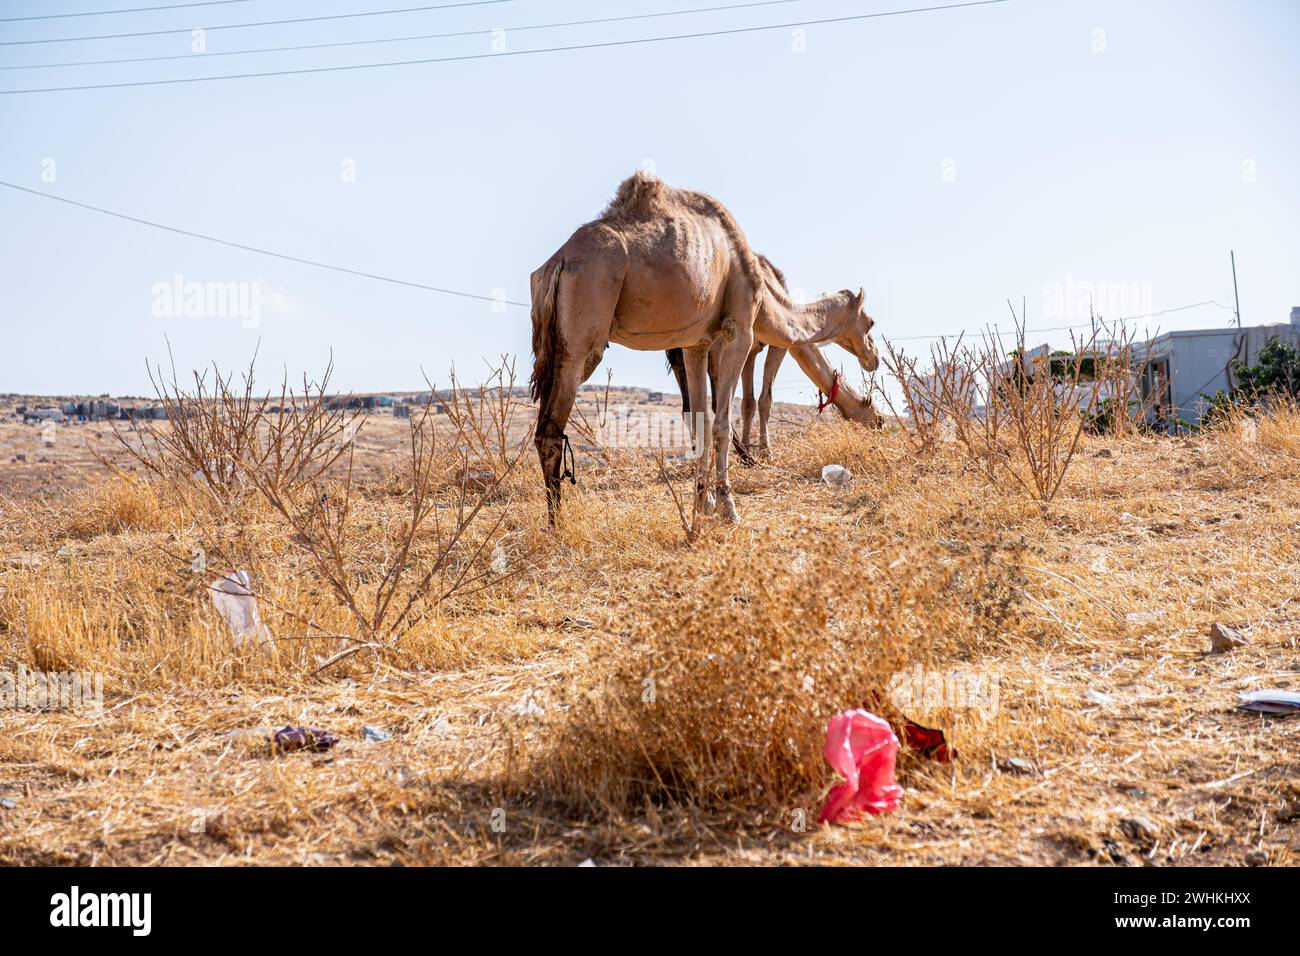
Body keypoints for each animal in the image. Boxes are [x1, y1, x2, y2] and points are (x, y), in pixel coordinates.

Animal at [529, 172, 878, 524]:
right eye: (871, 323)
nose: (873, 357)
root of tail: (557, 263)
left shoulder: (695, 344)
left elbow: (701, 419)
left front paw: (703, 501)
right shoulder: (741, 331)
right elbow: (723, 419)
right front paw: (727, 505)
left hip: (552, 345)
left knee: (544, 427)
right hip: (583, 334)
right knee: (552, 428)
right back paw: (557, 526)